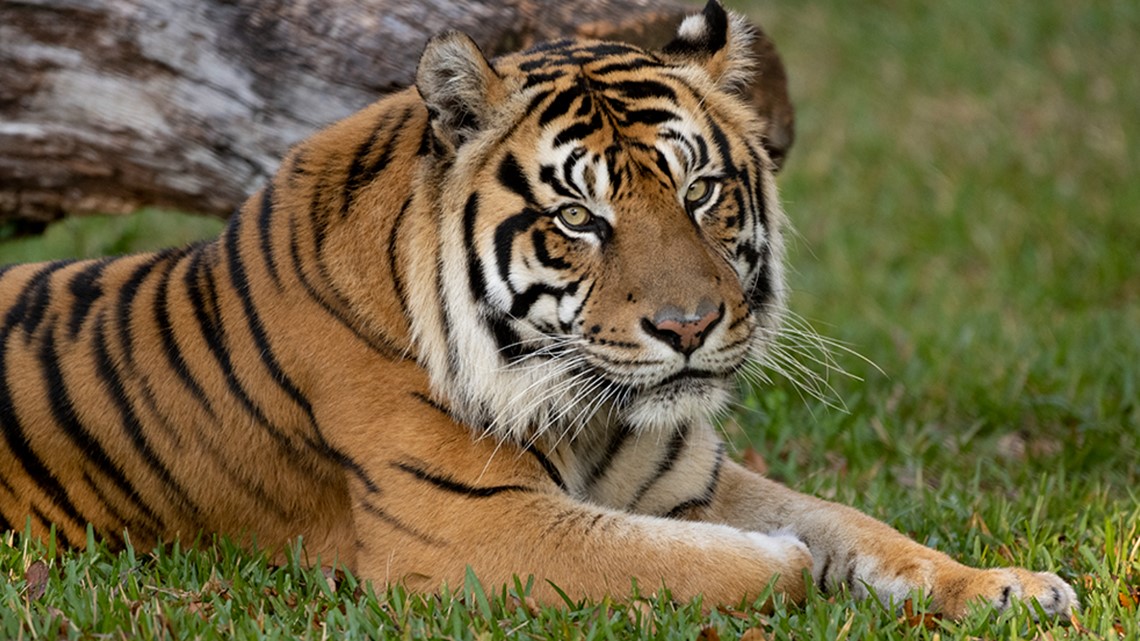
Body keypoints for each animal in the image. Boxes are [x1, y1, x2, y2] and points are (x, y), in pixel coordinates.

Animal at [0, 0, 1076, 618]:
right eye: (578, 217)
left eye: (700, 193)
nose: (688, 328)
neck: (589, 410)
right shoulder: (472, 529)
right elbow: (741, 561)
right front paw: (786, 562)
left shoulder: (684, 478)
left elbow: (857, 523)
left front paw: (1011, 586)